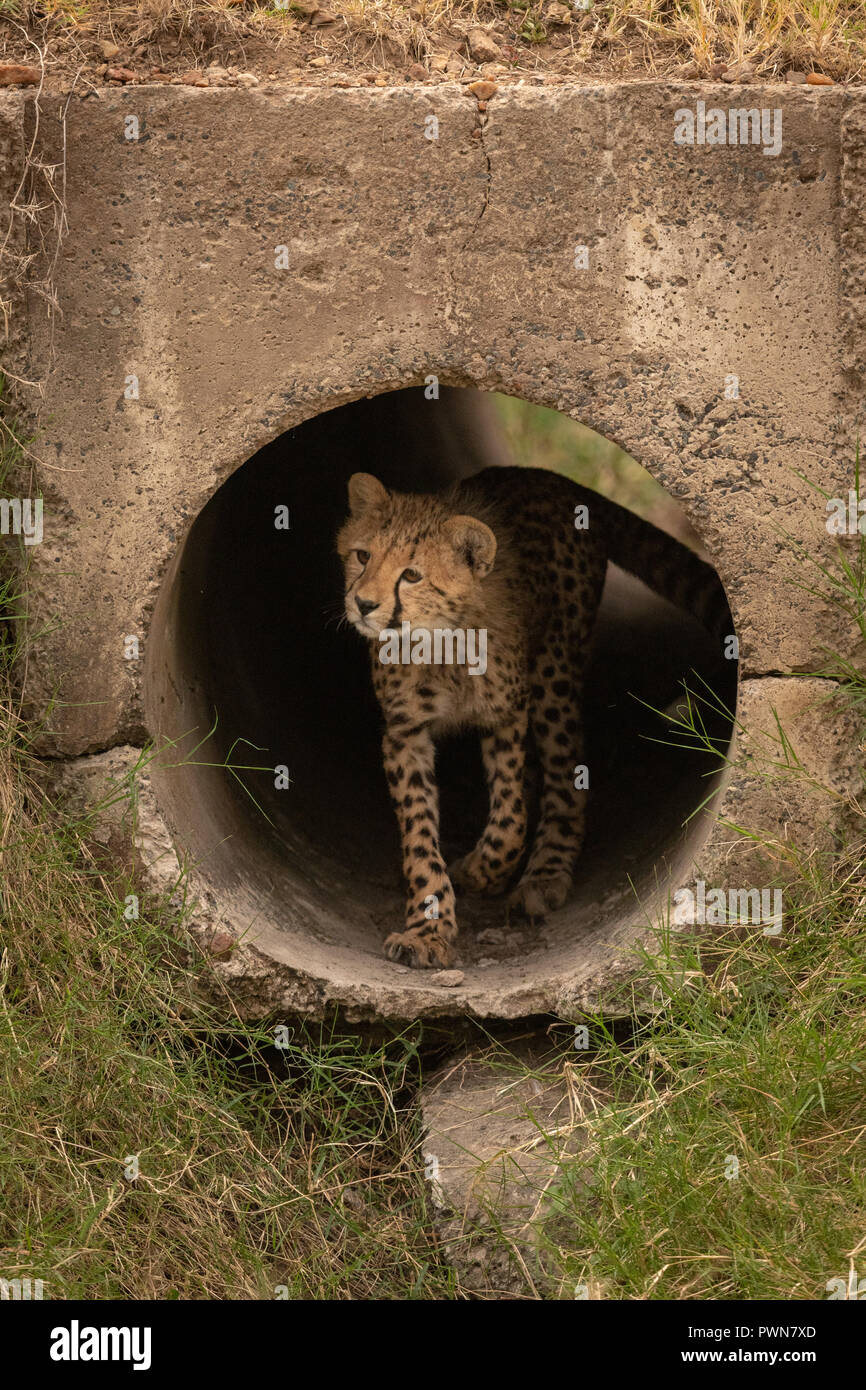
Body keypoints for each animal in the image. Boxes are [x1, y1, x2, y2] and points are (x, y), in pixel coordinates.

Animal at [337, 465, 728, 969]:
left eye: (411, 575)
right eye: (362, 555)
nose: (363, 604)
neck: (440, 640)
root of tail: (550, 476)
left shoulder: (507, 716)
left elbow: (510, 819)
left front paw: (480, 872)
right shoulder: (406, 734)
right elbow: (420, 837)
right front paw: (428, 929)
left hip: (553, 676)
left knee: (564, 781)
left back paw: (543, 875)